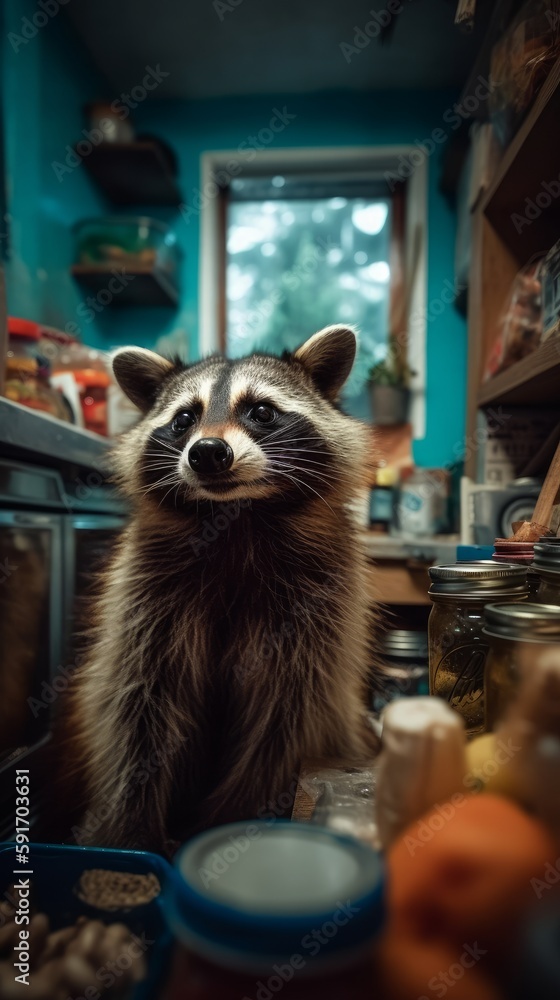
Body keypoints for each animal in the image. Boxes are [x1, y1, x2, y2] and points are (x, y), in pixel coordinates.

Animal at [63, 325, 379, 852]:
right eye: (184, 419)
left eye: (262, 412)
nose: (208, 452)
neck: (235, 516)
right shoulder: (145, 596)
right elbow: (136, 708)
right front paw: (131, 832)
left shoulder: (319, 607)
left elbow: (286, 720)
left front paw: (229, 817)